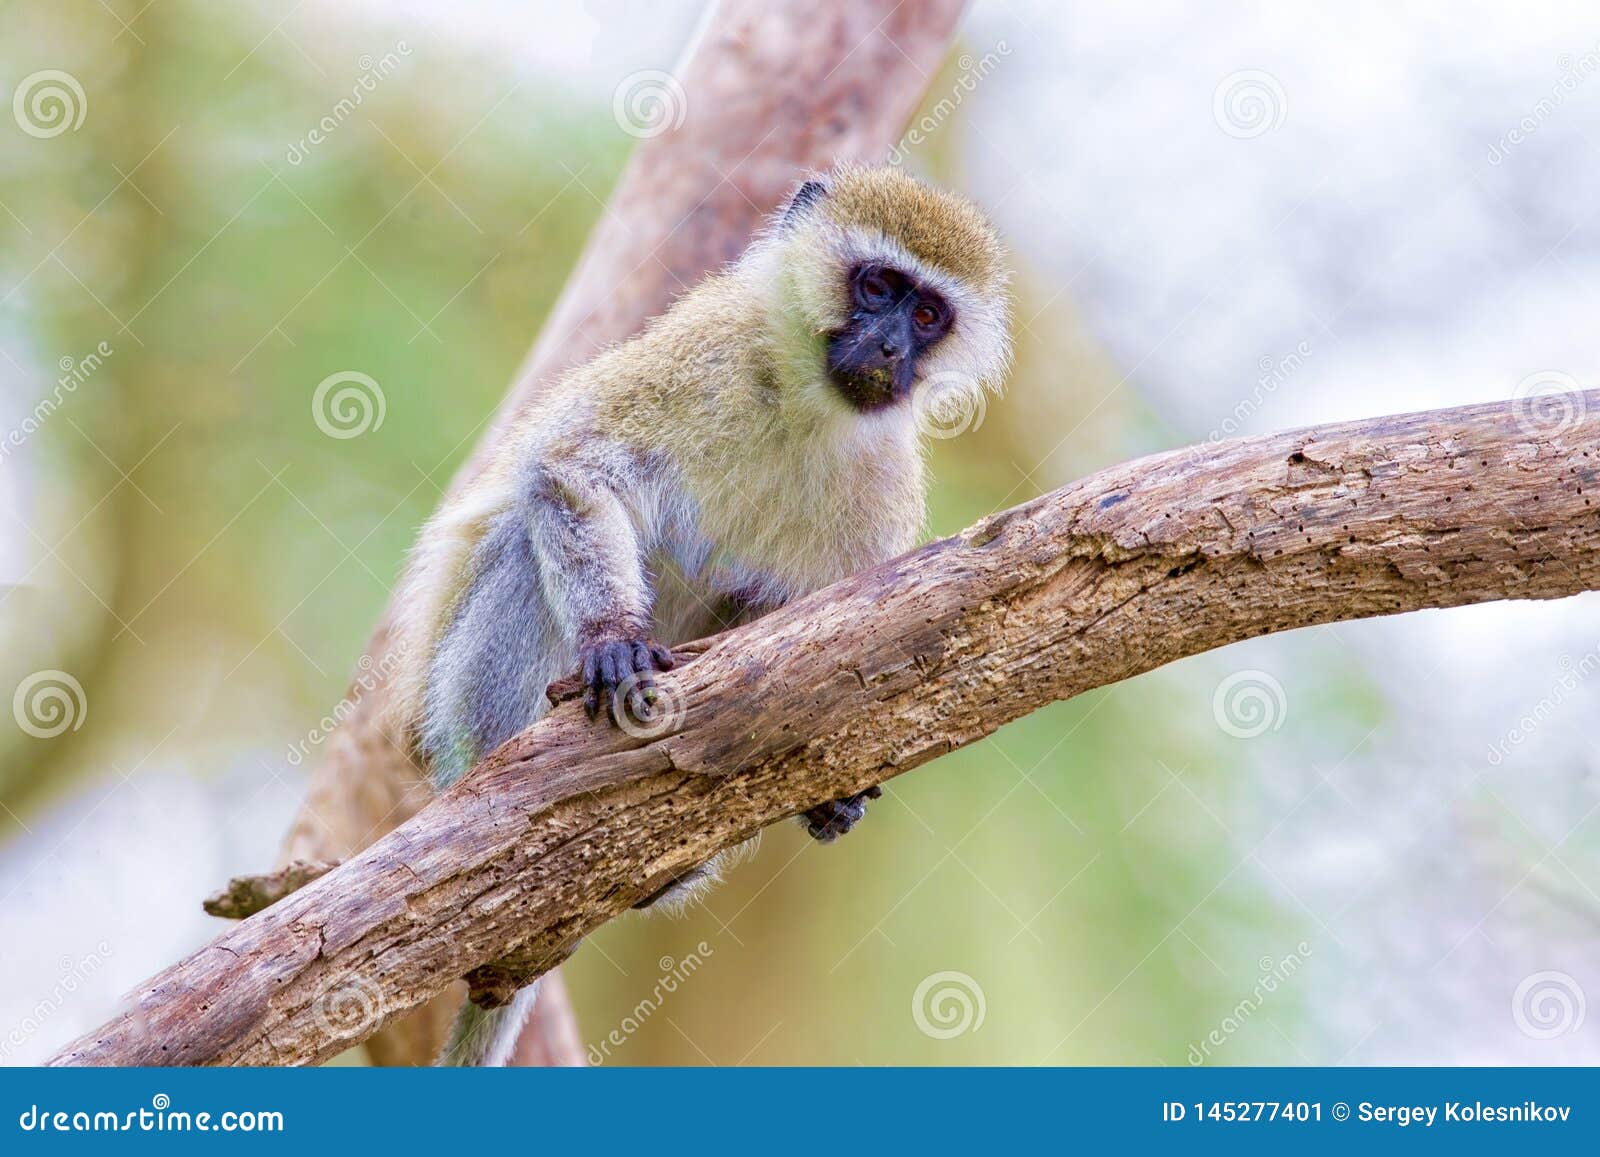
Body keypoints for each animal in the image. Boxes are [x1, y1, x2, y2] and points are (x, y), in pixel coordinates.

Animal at [386, 163, 1012, 1066]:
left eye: (927, 315)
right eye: (878, 286)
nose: (894, 348)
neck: (804, 403)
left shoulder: (881, 492)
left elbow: (846, 651)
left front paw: (837, 797)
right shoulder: (703, 352)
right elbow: (575, 469)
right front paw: (615, 642)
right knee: (519, 544)